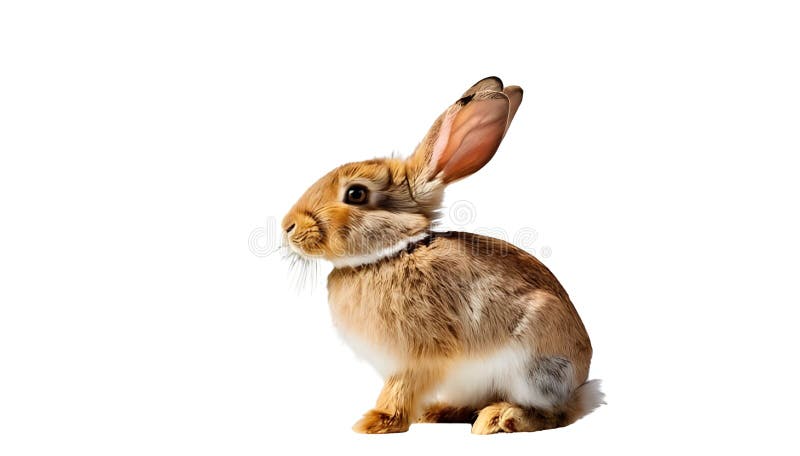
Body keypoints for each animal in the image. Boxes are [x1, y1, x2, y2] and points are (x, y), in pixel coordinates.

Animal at [281, 76, 603, 434]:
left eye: (356, 193)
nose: (287, 227)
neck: (391, 254)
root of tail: (581, 383)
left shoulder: (417, 357)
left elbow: (399, 389)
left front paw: (376, 422)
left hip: (533, 369)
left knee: (557, 414)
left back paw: (500, 418)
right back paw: (441, 412)